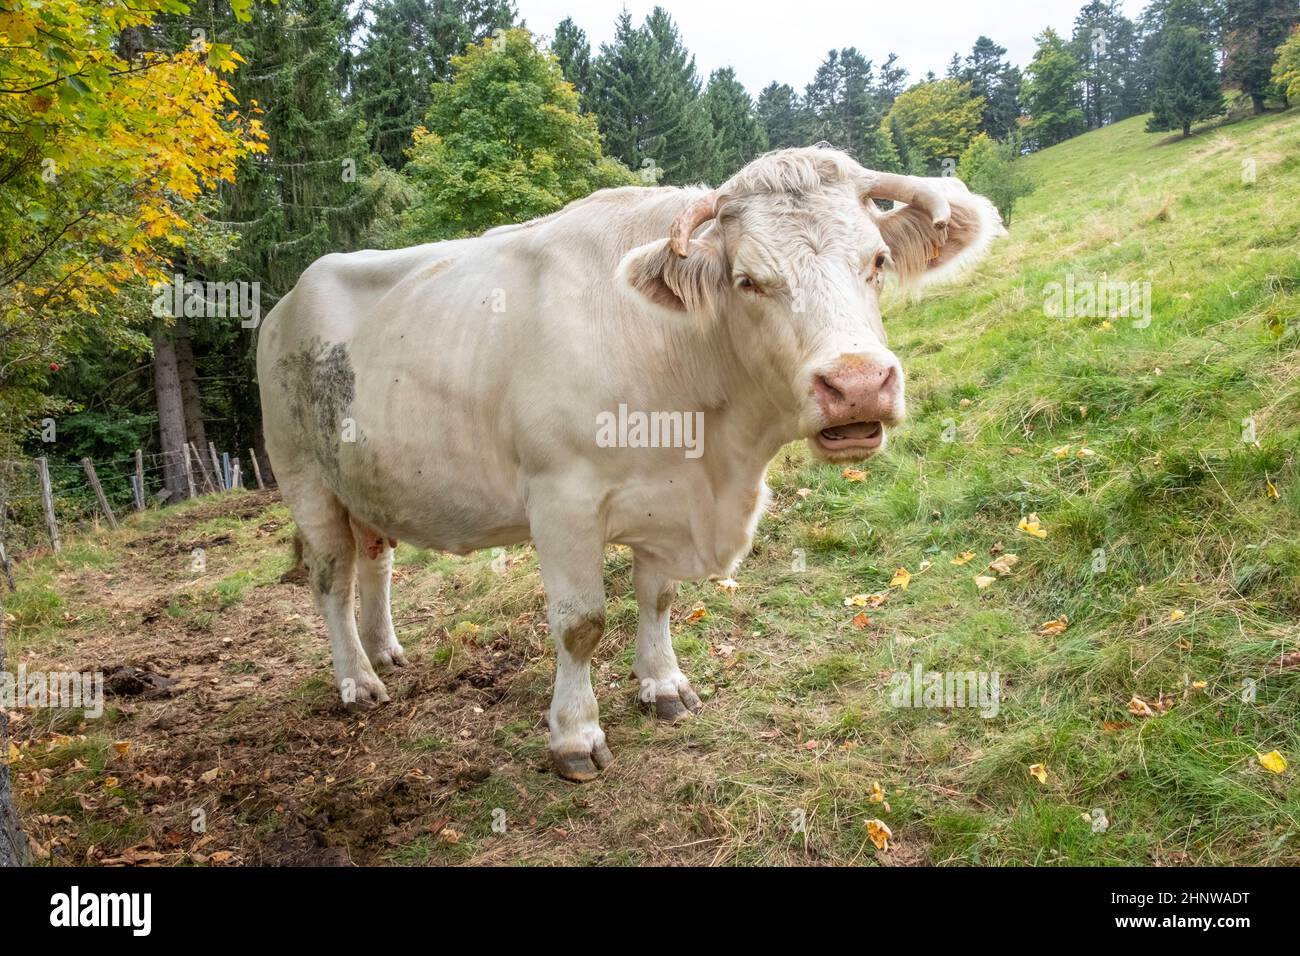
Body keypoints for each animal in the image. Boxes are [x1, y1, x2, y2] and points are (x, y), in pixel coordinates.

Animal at [256, 147, 1005, 781]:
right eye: (747, 281)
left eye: (877, 261)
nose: (856, 383)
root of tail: (285, 299)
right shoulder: (561, 500)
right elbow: (581, 623)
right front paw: (575, 736)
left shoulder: (666, 503)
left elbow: (659, 597)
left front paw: (664, 685)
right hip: (304, 478)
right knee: (330, 579)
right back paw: (358, 679)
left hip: (365, 478)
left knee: (375, 560)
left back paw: (384, 647)